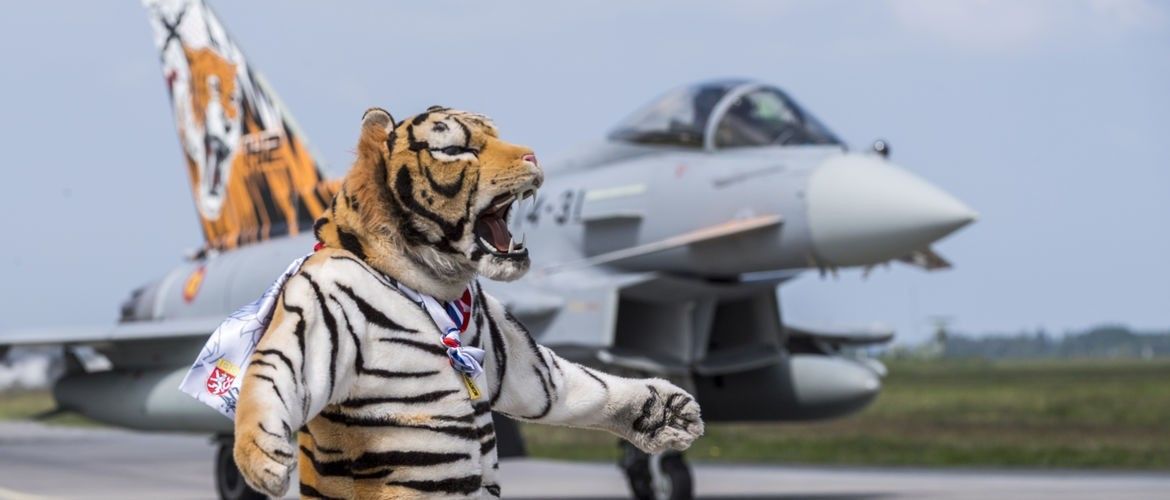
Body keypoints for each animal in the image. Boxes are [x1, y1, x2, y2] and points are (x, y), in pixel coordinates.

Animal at [232, 106, 704, 499]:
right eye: (456, 149)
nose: (533, 157)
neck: (427, 287)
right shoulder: (320, 306)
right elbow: (277, 370)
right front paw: (263, 460)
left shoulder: (511, 351)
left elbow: (570, 384)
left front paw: (664, 415)